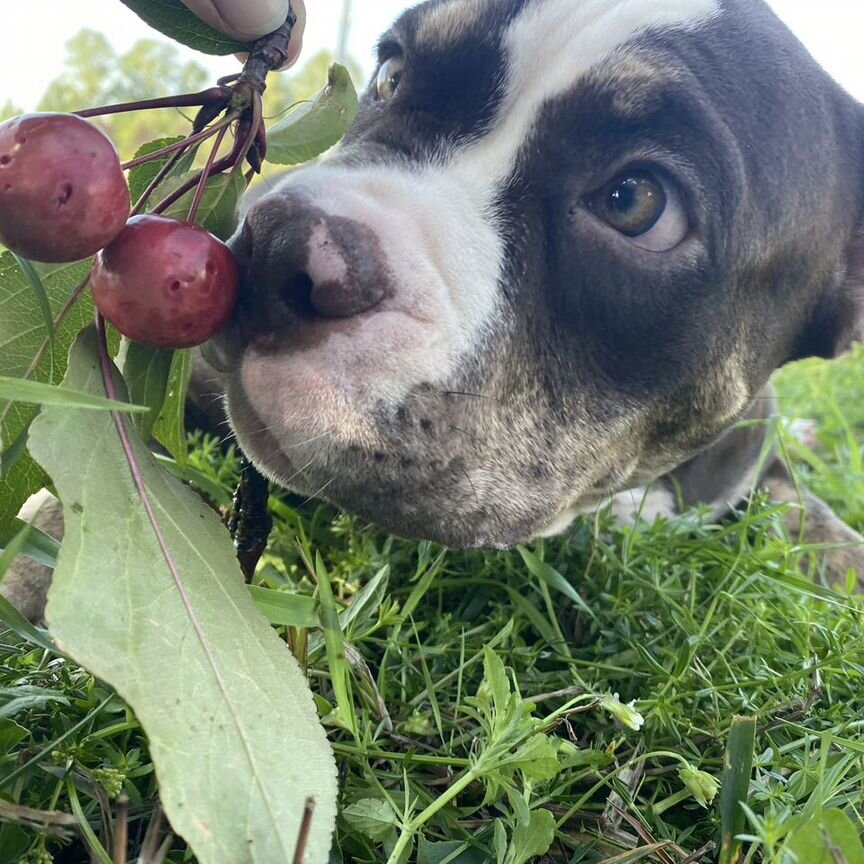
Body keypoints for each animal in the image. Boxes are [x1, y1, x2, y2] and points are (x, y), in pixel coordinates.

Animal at [6, 0, 864, 620]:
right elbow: (109, 452)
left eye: (635, 201)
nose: (282, 246)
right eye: (389, 73)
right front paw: (44, 564)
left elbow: (813, 514)